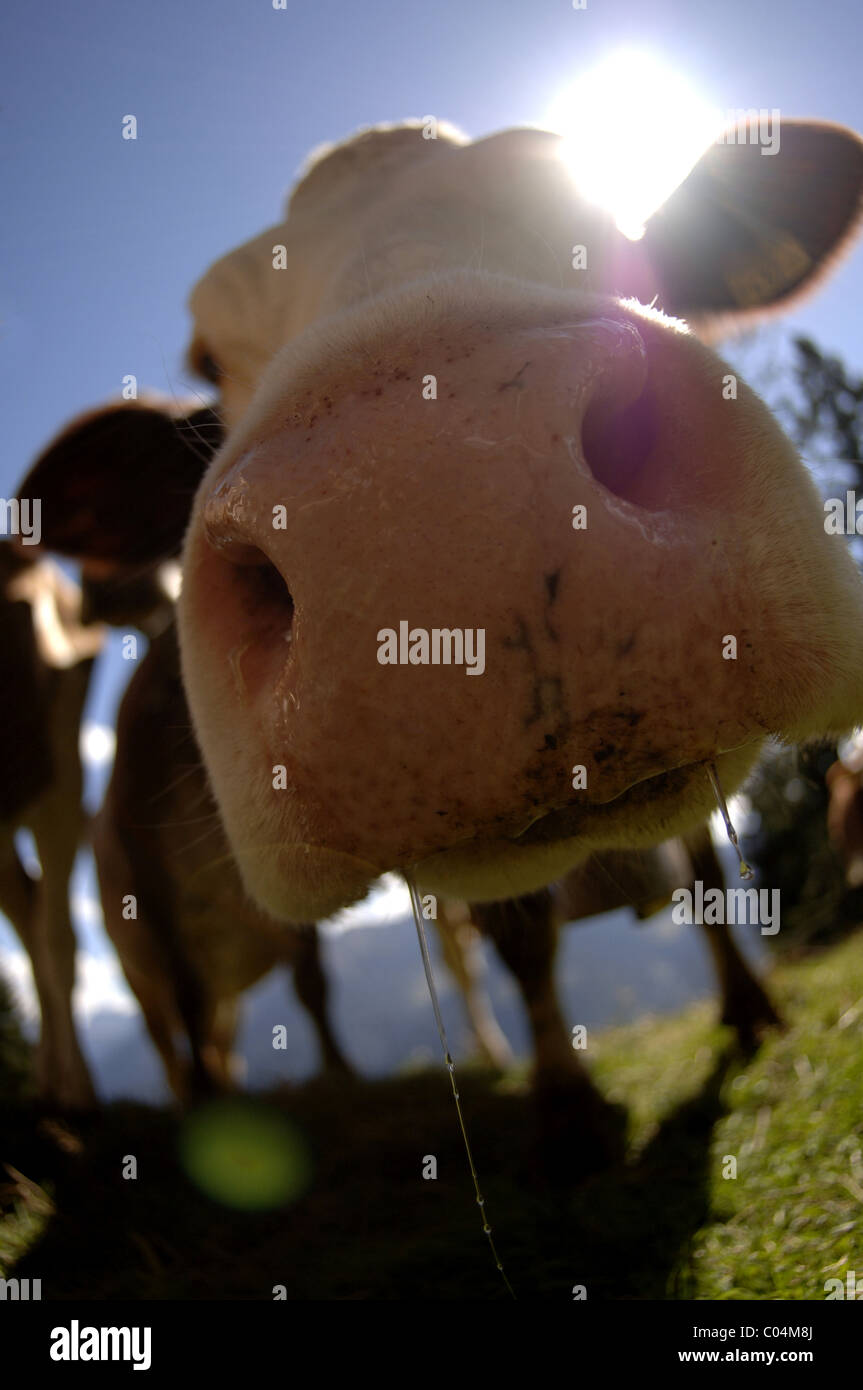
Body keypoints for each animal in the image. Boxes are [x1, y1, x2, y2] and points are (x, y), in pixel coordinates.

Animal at [18, 117, 863, 1168]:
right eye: (209, 359)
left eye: (606, 219)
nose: (429, 501)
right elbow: (521, 936)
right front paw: (564, 1103)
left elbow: (705, 866)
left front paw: (749, 1010)